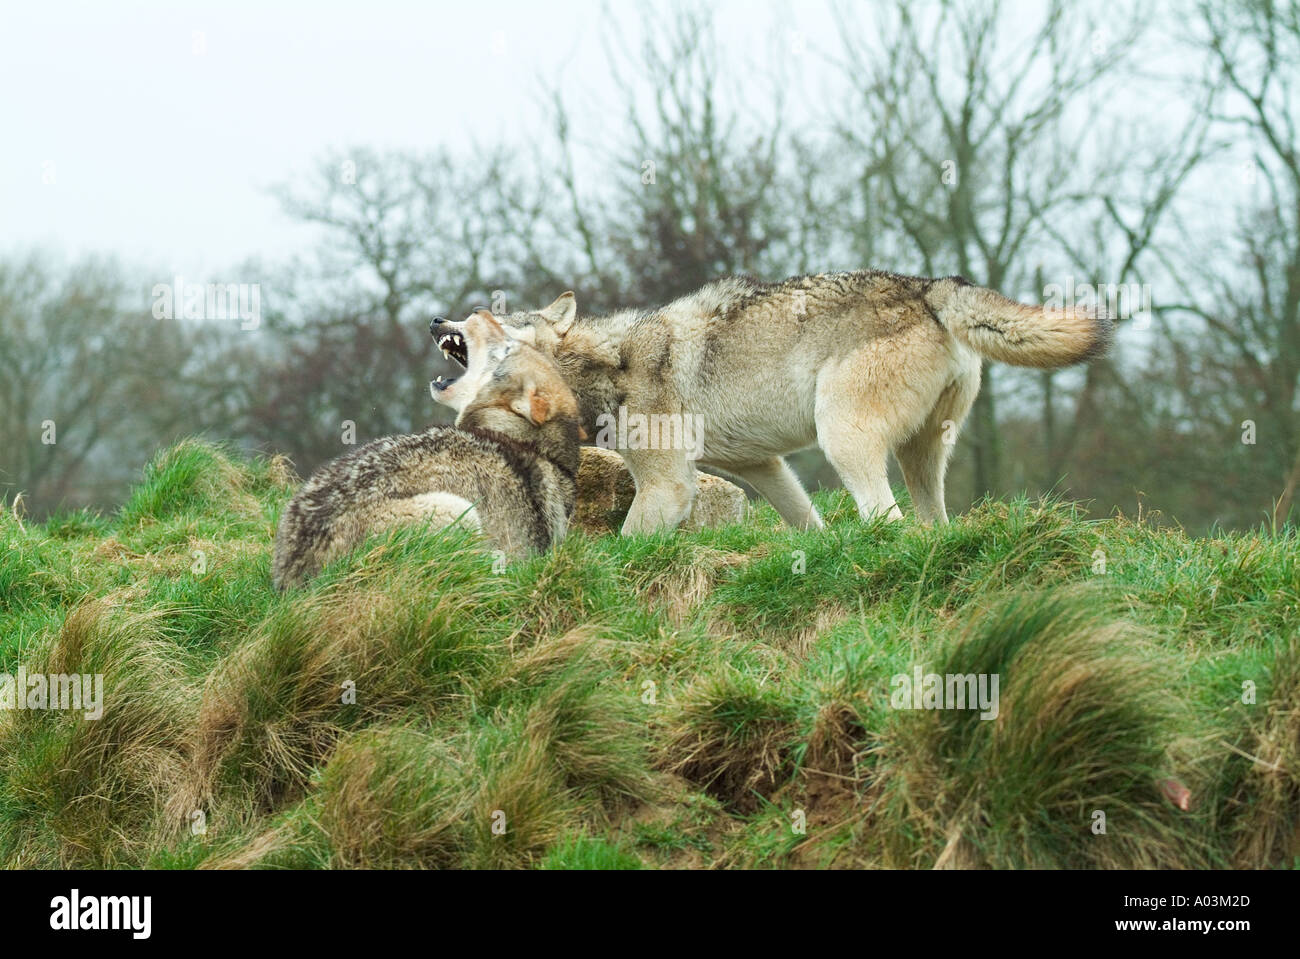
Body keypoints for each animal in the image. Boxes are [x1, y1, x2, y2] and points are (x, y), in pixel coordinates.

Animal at [430, 272, 1110, 534]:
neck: (600, 368)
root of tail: (927, 287)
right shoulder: (761, 466)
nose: (436, 318)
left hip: (843, 438)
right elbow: (807, 521)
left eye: (482, 318)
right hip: (922, 456)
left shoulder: (669, 484)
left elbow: (627, 543)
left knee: (885, 519)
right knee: (930, 523)